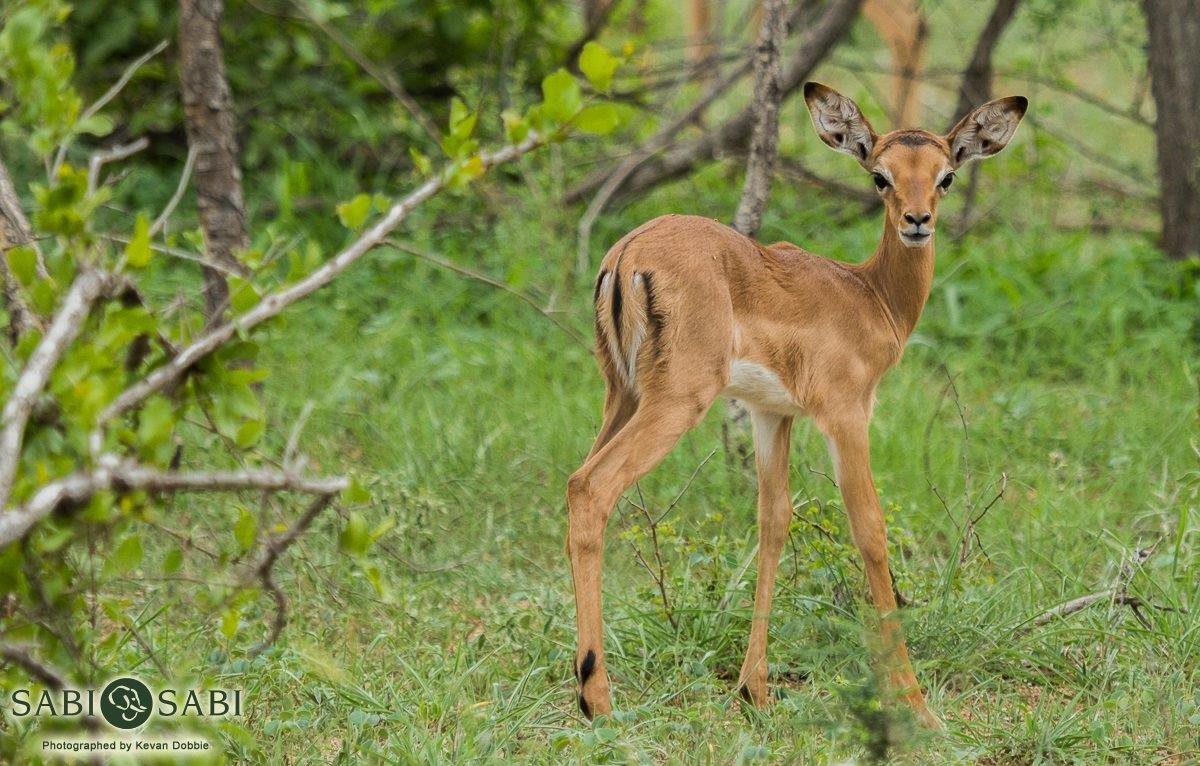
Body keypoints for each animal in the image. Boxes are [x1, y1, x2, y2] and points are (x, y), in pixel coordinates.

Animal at [566, 82, 1027, 727]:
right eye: (880, 175)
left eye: (946, 176)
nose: (917, 222)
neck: (868, 297)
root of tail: (627, 255)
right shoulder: (847, 416)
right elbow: (870, 531)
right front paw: (917, 706)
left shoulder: (771, 414)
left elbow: (773, 521)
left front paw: (754, 689)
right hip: (675, 403)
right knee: (591, 489)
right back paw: (598, 697)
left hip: (622, 397)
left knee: (573, 483)